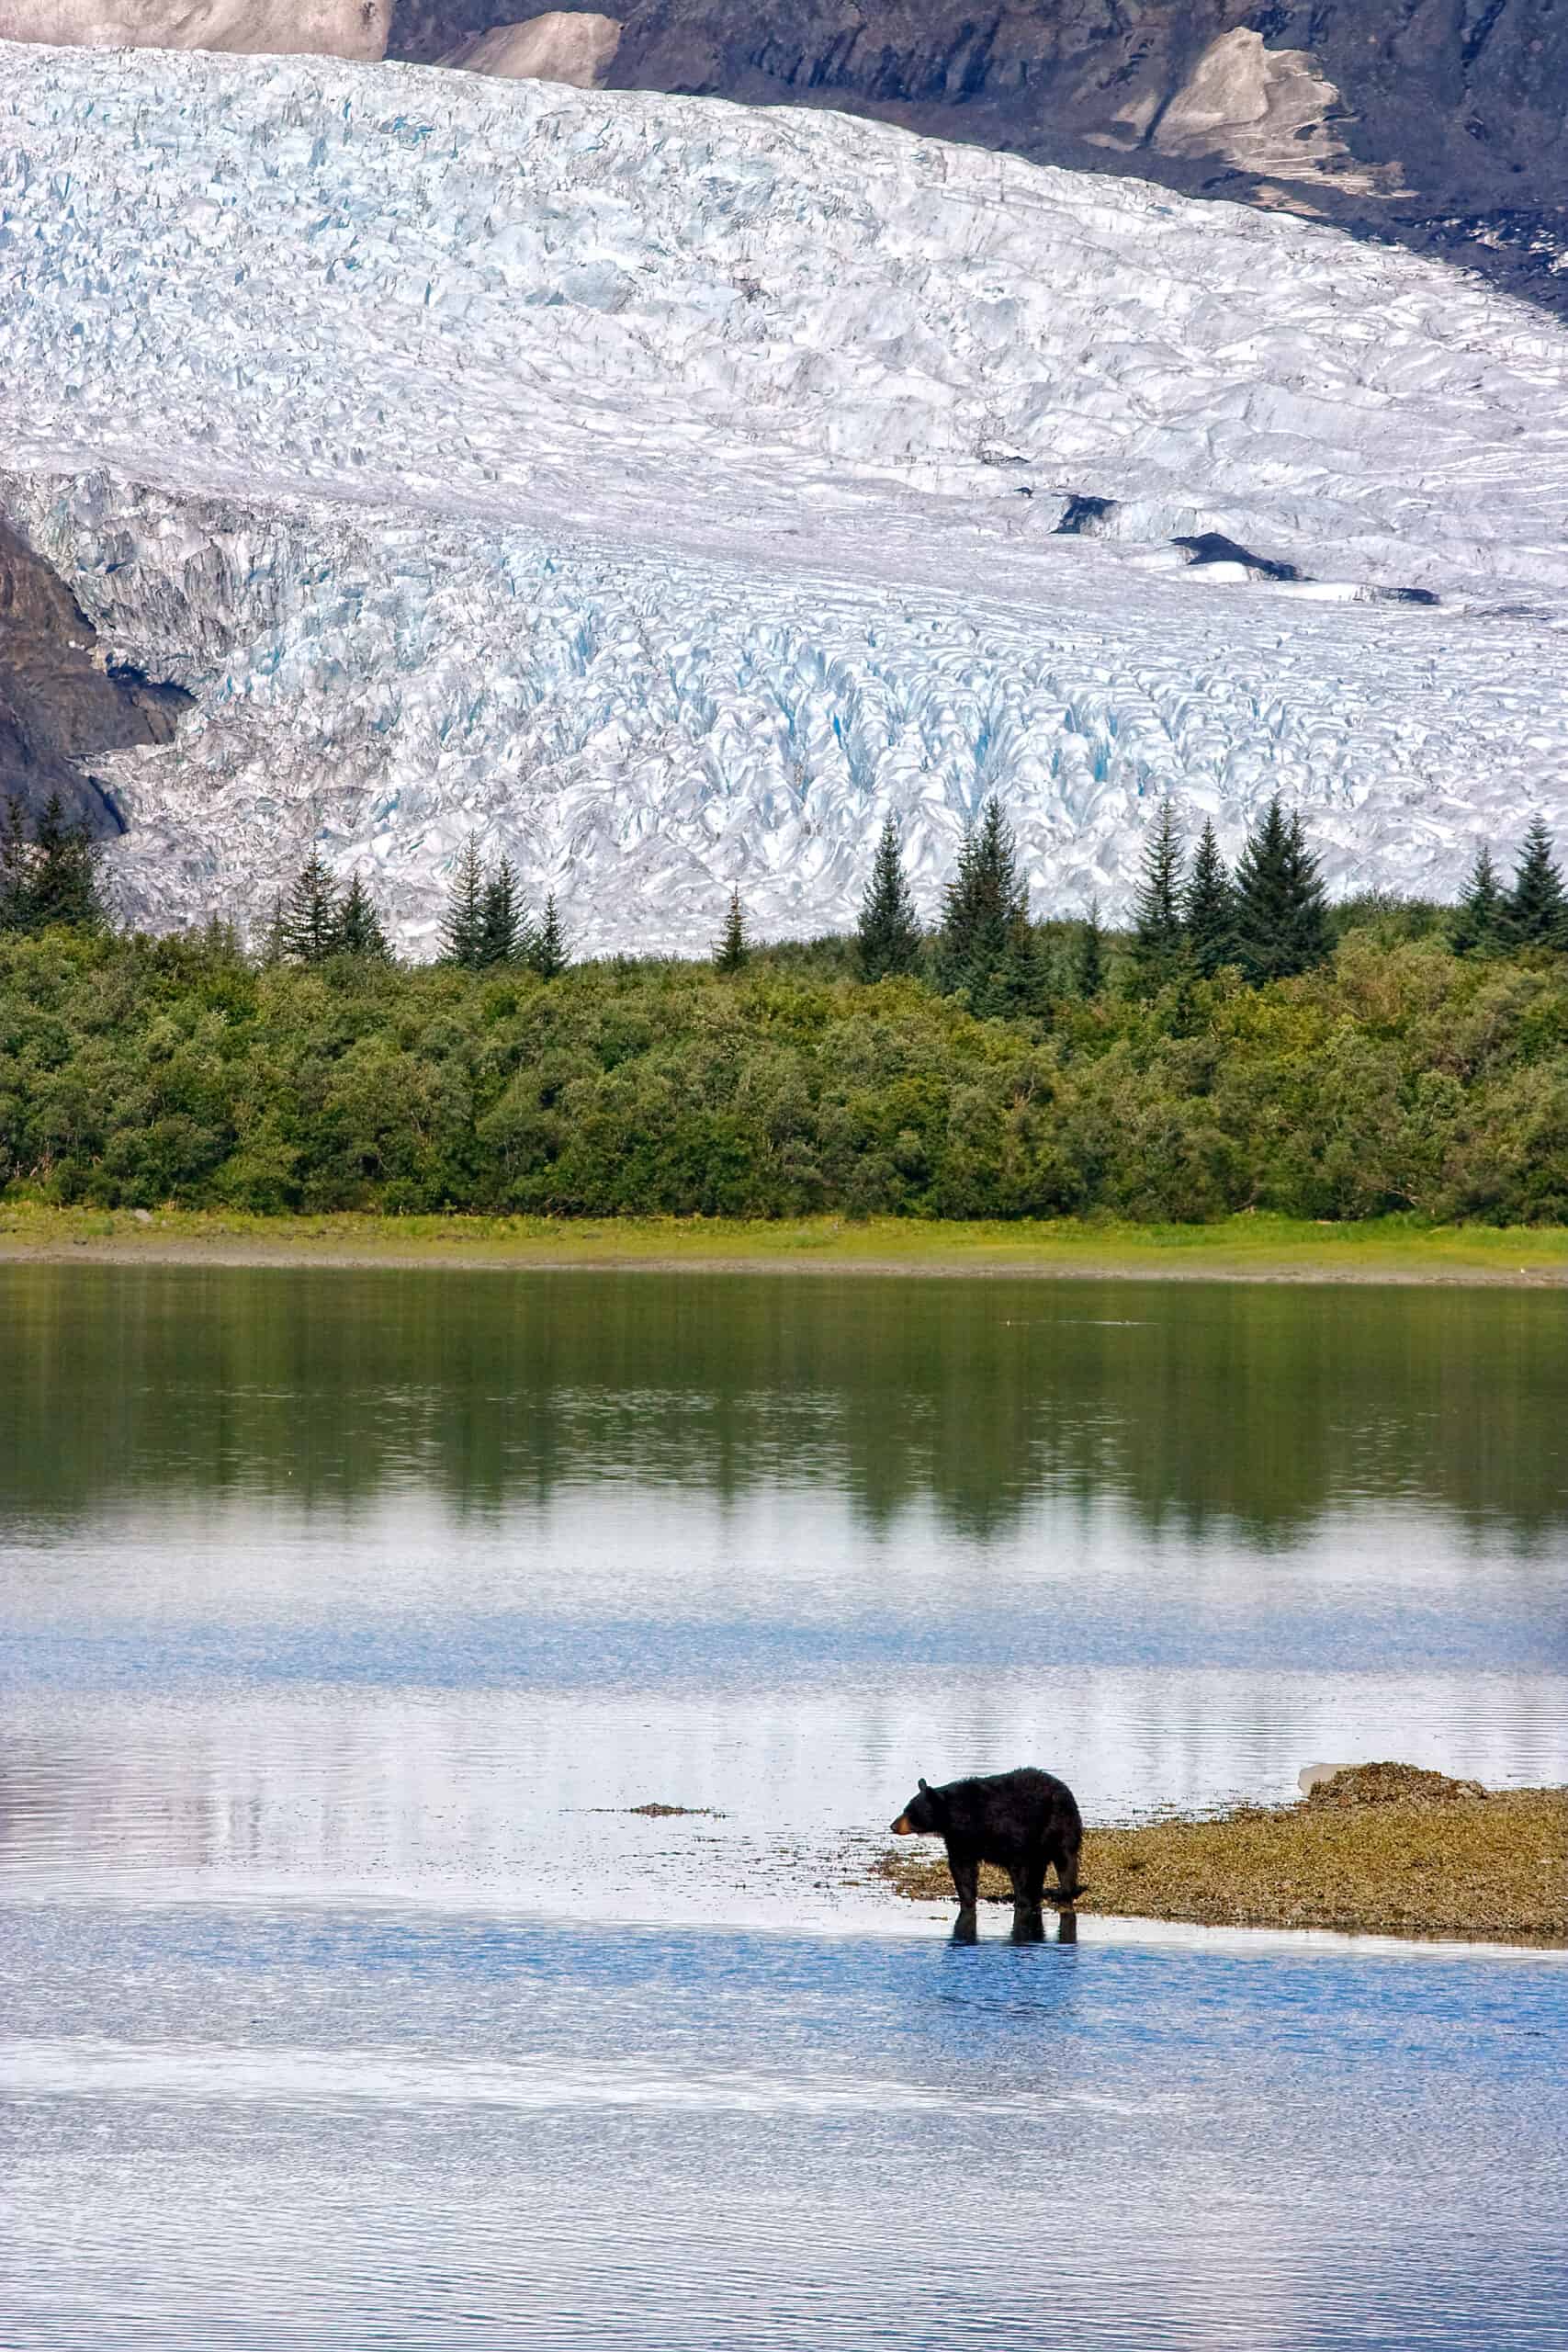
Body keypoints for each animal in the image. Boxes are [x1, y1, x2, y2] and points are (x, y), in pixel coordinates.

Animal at [891, 1766, 1083, 1943]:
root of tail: (1064, 1787)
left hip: (1060, 1825)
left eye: (910, 1812)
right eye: (905, 1809)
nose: (893, 1826)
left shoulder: (1012, 1830)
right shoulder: (960, 1840)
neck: (961, 1817)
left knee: (1065, 1861)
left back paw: (1064, 1895)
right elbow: (962, 1869)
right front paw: (966, 1902)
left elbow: (1020, 1867)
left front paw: (1022, 1901)